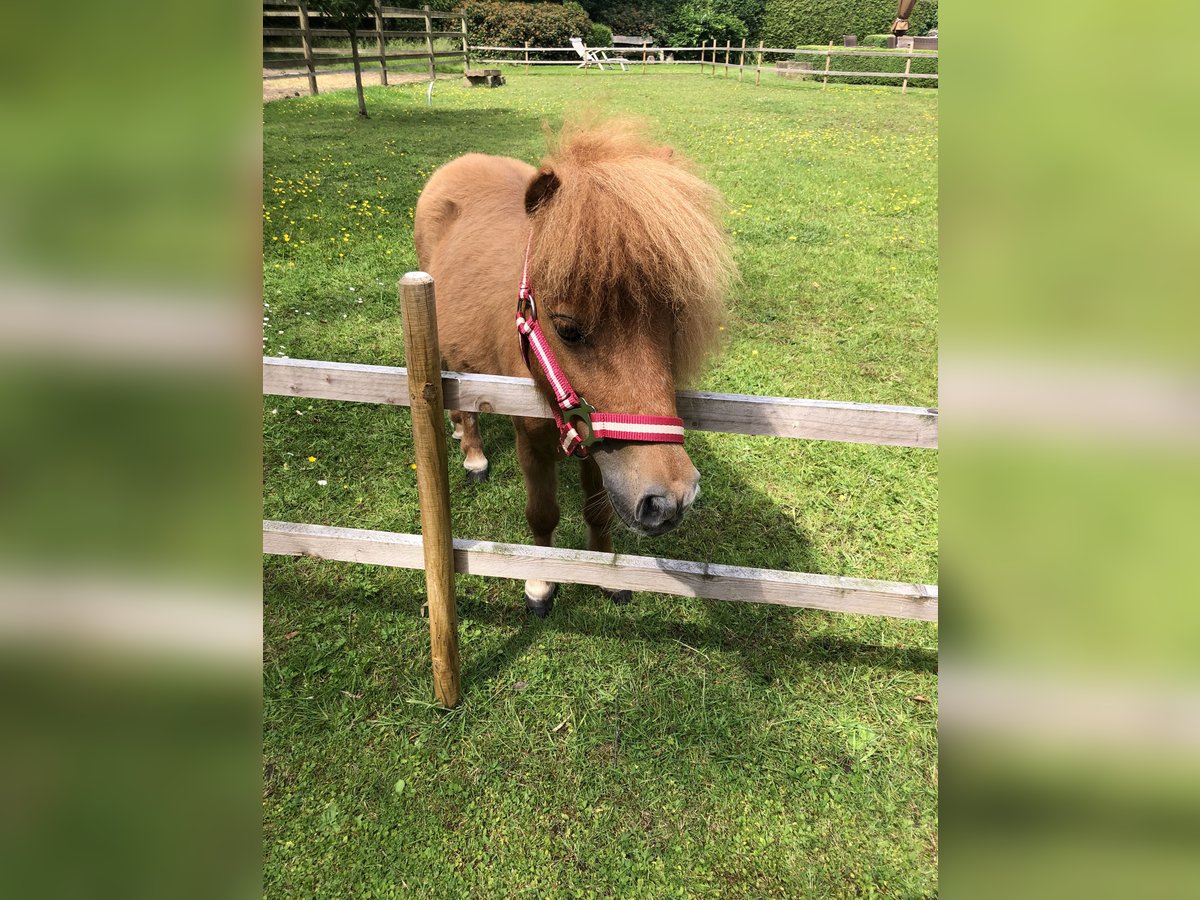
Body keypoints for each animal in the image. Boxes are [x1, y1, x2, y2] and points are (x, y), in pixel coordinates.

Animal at [413, 119, 734, 616]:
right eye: (567, 328)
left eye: (674, 317)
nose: (669, 501)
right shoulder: (533, 439)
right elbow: (542, 514)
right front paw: (541, 584)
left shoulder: (599, 447)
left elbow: (597, 510)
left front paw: (607, 575)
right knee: (460, 393)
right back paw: (472, 450)